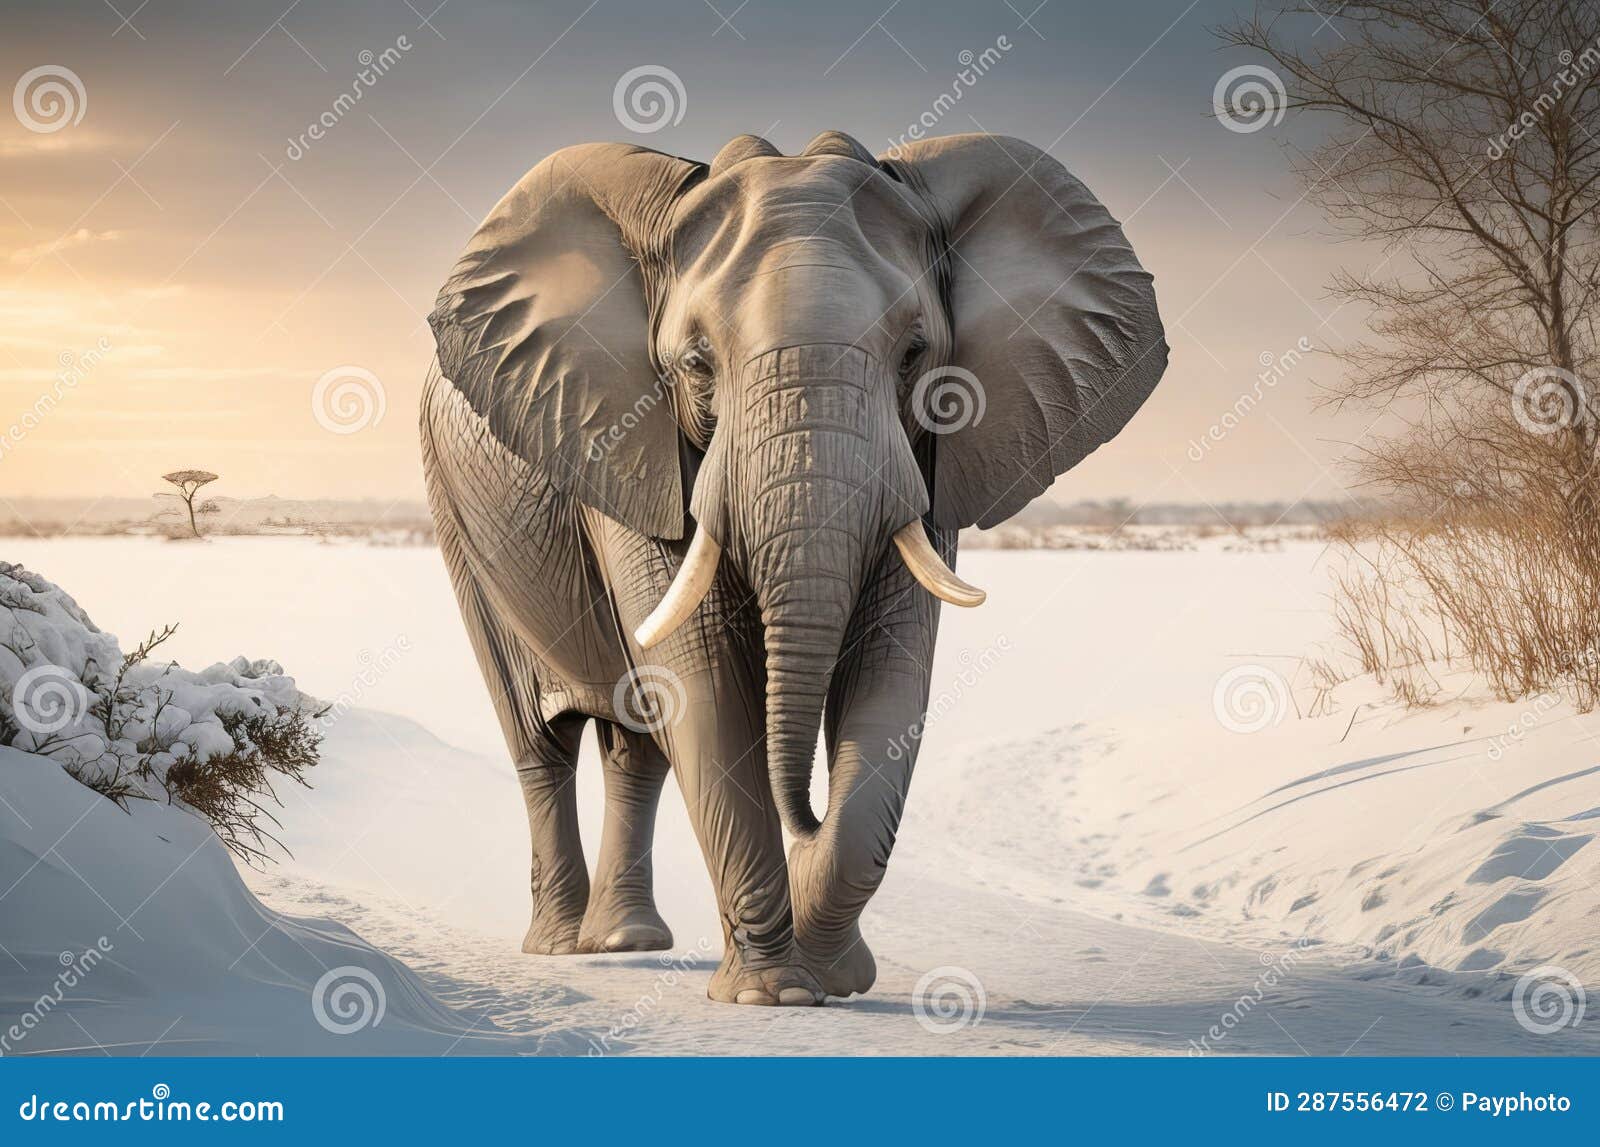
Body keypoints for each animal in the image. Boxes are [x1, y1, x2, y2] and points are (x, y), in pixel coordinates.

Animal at [420, 130, 1166, 1006]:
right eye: (697, 365)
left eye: (914, 356)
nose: (803, 816)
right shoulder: (627, 437)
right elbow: (706, 679)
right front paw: (771, 993)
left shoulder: (930, 463)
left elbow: (890, 675)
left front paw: (835, 974)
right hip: (455, 511)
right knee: (540, 741)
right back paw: (561, 946)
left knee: (636, 748)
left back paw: (628, 939)